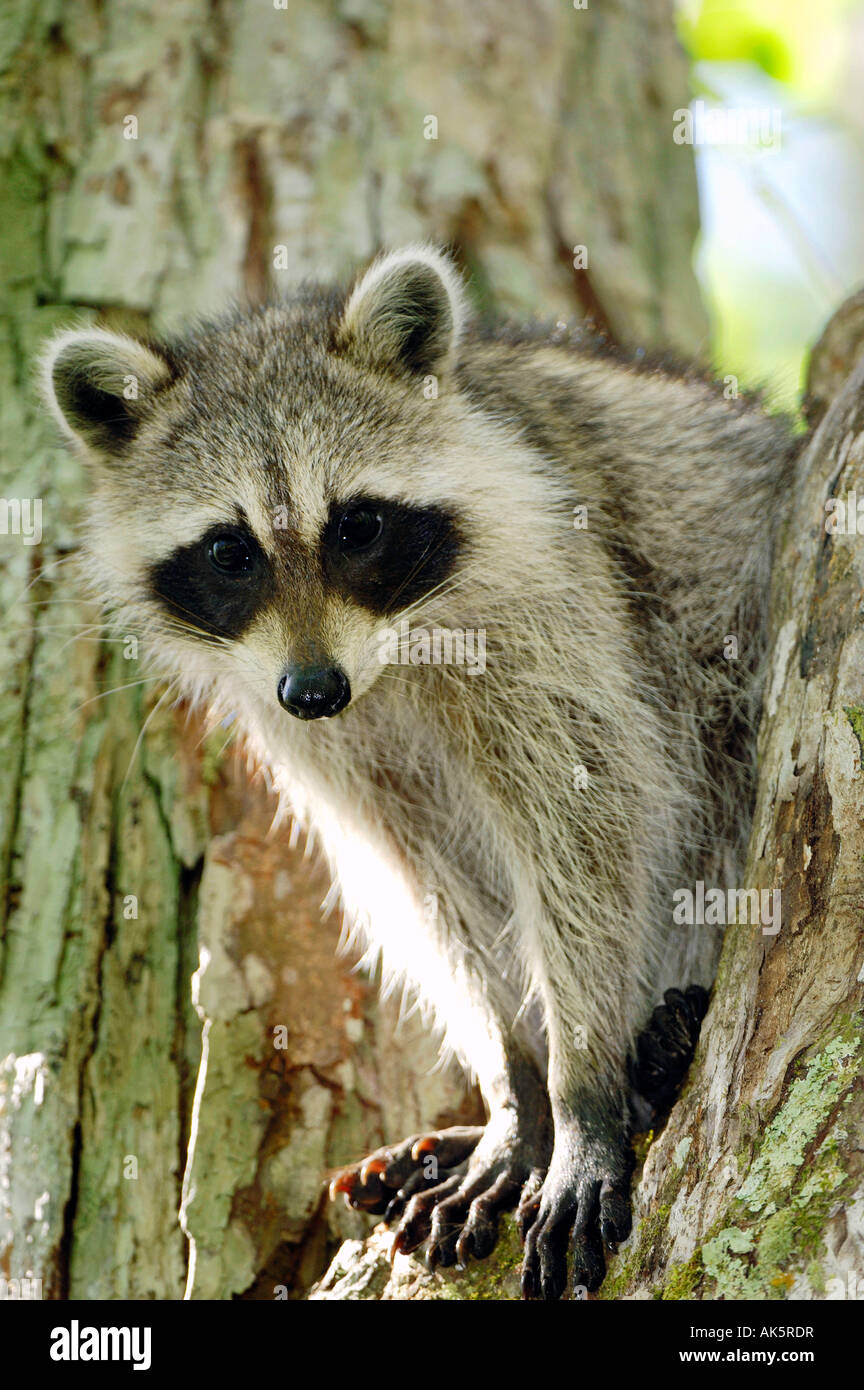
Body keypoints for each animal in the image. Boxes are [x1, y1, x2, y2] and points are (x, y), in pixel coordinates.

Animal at [41, 246, 796, 1299]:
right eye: (230, 552)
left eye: (356, 527)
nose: (315, 689)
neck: (390, 656)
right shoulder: (316, 731)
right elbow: (423, 884)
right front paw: (516, 1087)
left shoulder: (551, 594)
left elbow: (591, 820)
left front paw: (580, 1086)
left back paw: (662, 1034)